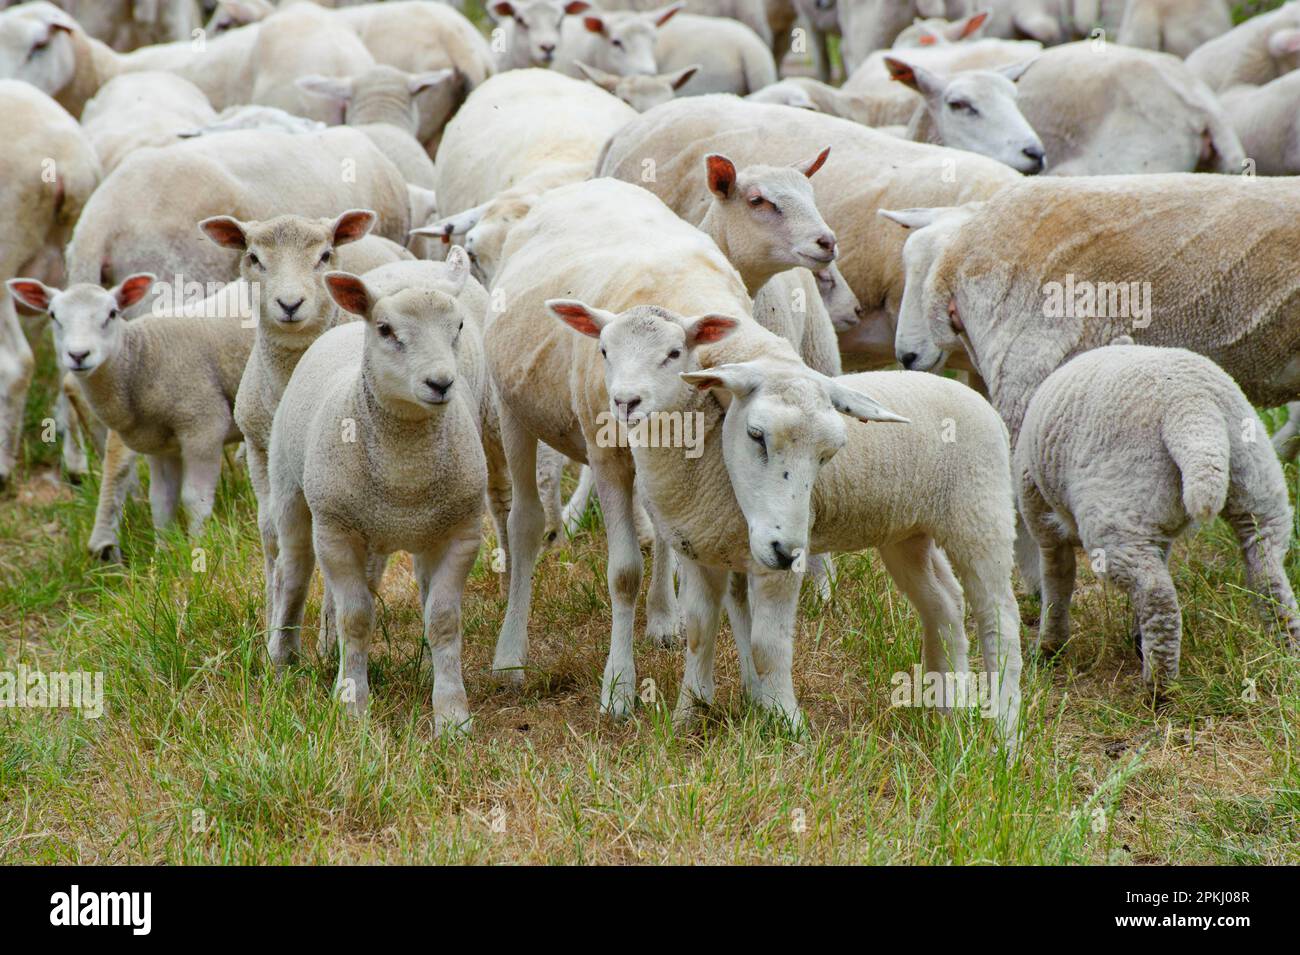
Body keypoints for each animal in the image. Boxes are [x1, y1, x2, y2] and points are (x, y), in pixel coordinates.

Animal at [6, 273, 253, 548]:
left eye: (112, 313)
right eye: (53, 316)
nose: (78, 355)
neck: (140, 360)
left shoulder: (203, 427)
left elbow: (194, 499)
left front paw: (198, 548)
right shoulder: (161, 446)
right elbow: (161, 502)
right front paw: (164, 551)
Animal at [265, 249, 489, 734]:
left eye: (459, 325)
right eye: (387, 330)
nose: (441, 383)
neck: (403, 470)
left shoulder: (461, 532)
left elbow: (443, 620)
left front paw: (452, 714)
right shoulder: (334, 531)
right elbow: (356, 618)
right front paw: (352, 705)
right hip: (291, 492)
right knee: (294, 574)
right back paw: (281, 658)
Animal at [545, 296, 1023, 743]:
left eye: (674, 352)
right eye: (604, 350)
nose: (626, 402)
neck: (700, 454)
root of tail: (974, 398)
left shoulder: (774, 561)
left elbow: (767, 645)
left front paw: (786, 724)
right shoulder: (700, 548)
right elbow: (699, 631)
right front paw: (688, 717)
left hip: (981, 514)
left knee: (999, 619)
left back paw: (1003, 731)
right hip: (908, 532)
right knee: (944, 604)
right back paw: (947, 708)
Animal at [1016, 343, 1300, 689]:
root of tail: (1193, 407)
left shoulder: (1037, 507)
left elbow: (1057, 578)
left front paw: (1049, 647)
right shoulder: (1154, 528)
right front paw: (1136, 636)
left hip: (1119, 508)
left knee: (1157, 595)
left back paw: (1159, 685)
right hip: (1257, 486)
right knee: (1267, 572)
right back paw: (1287, 650)